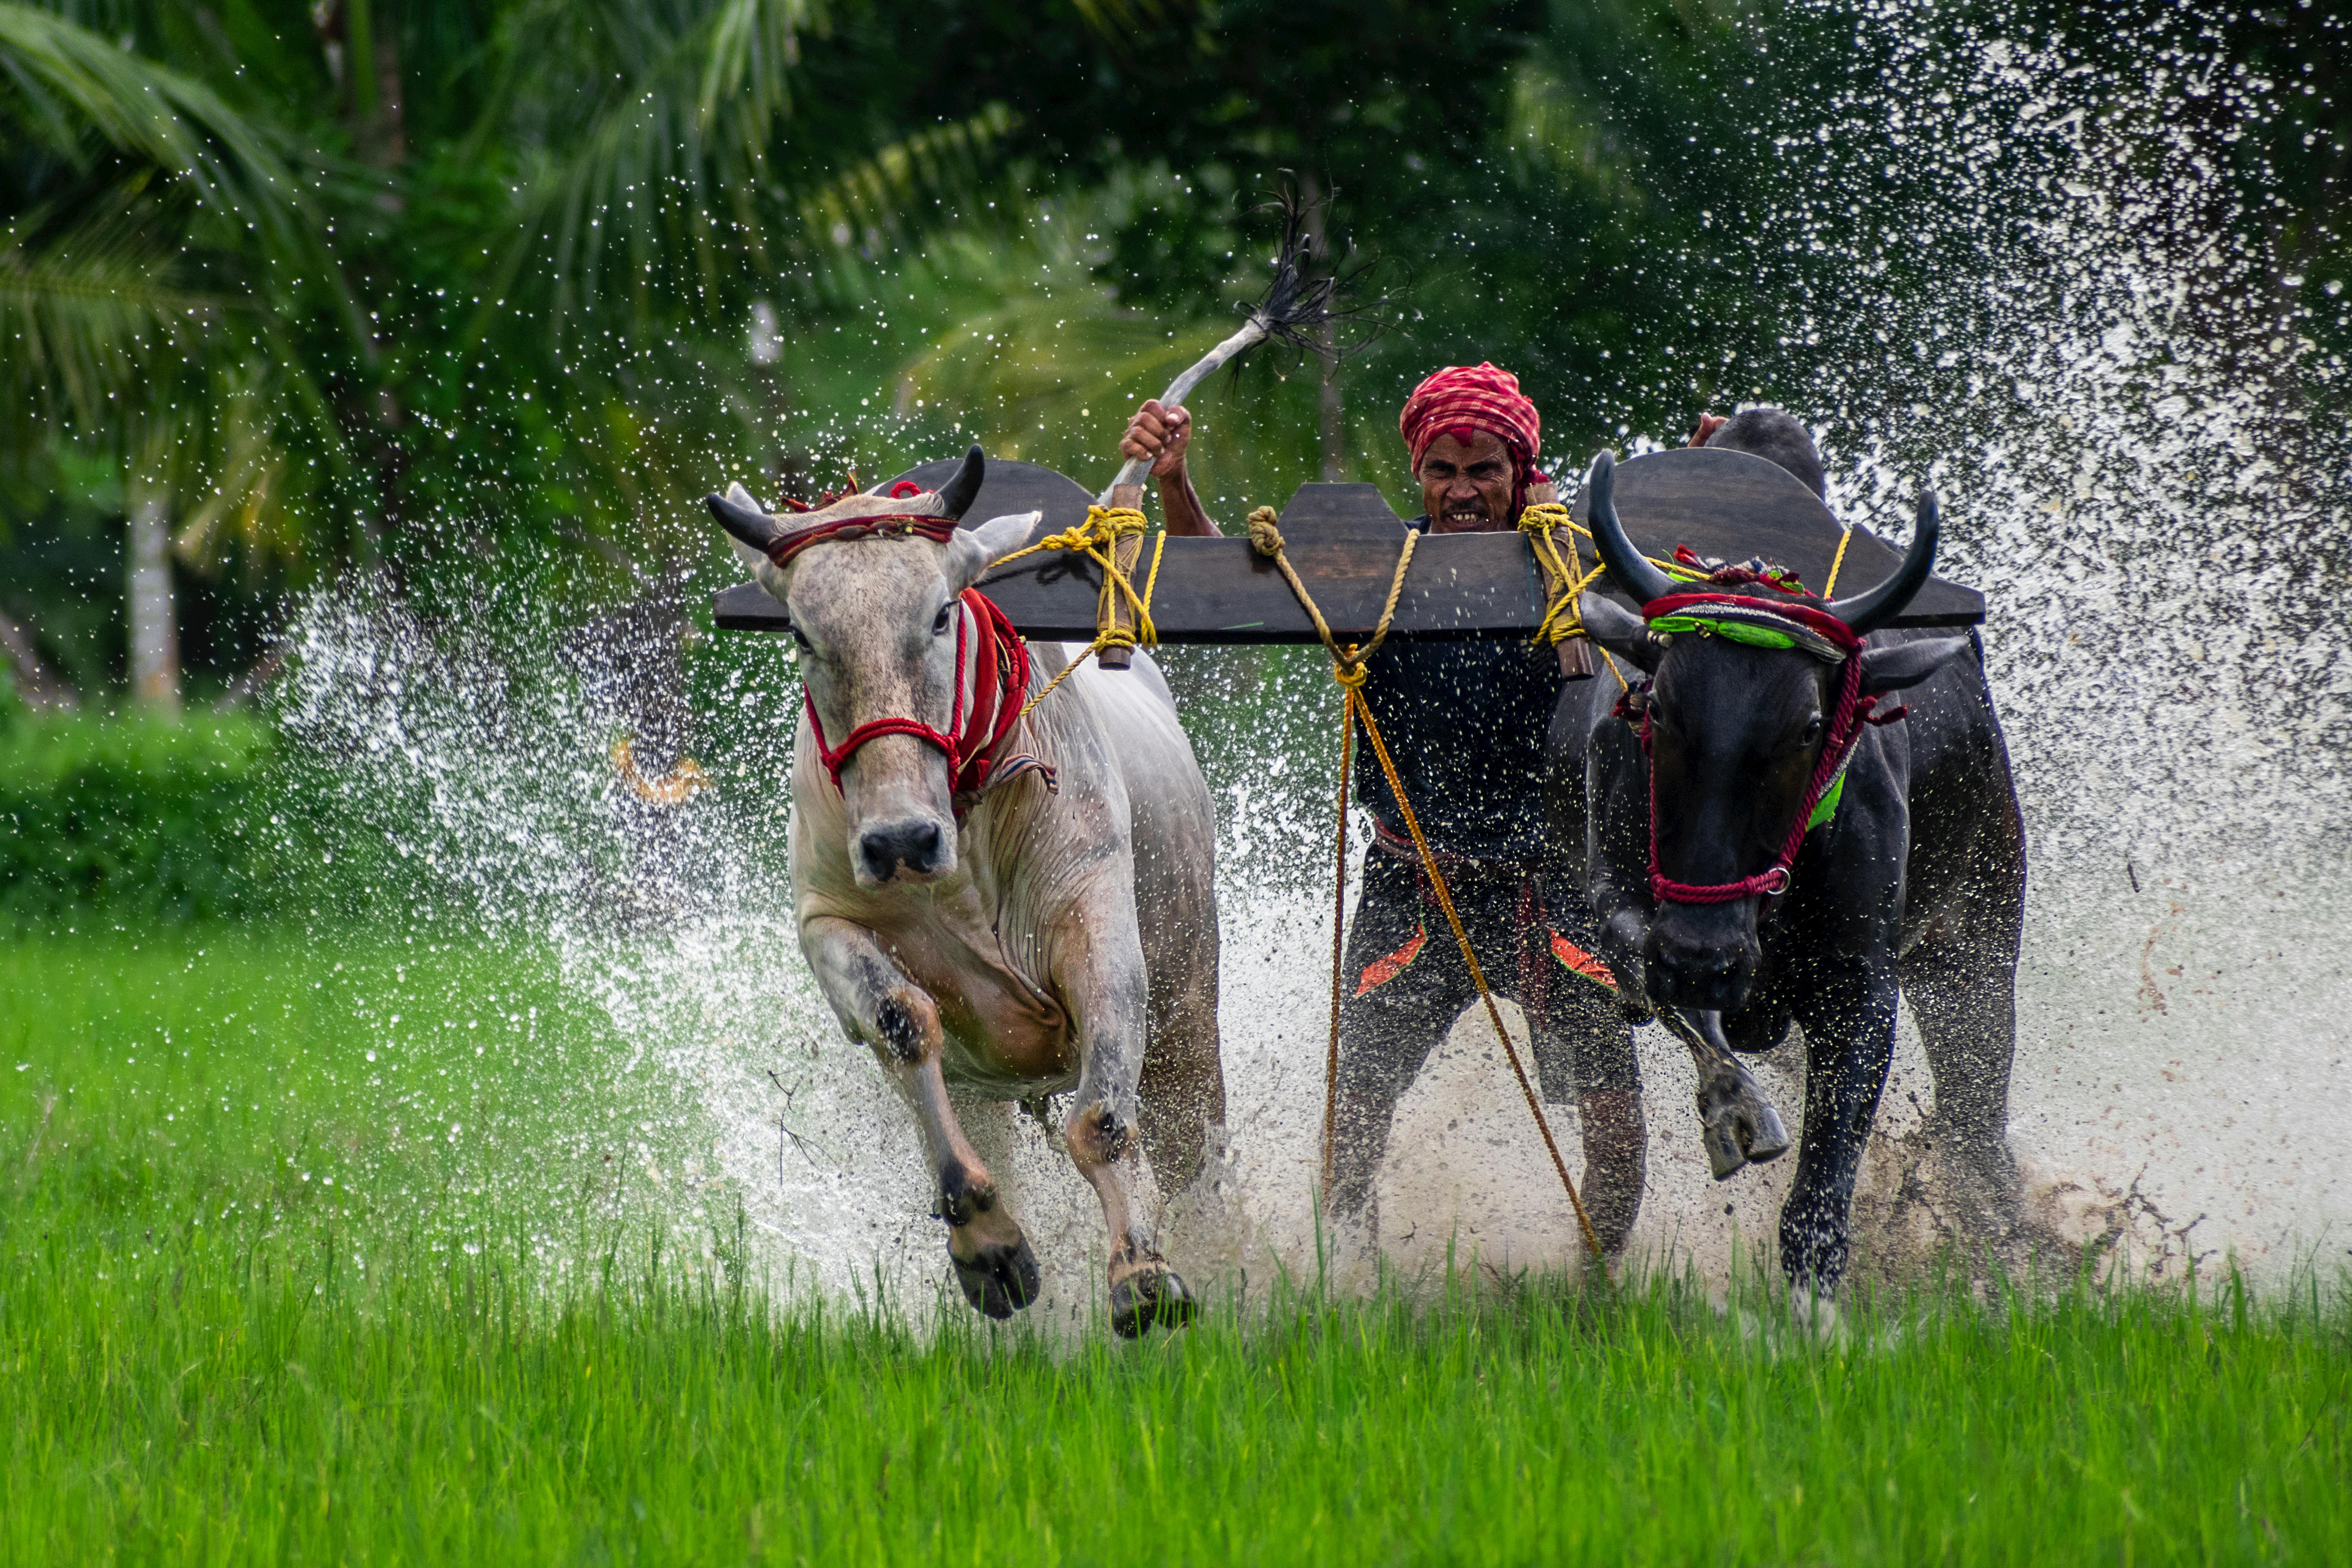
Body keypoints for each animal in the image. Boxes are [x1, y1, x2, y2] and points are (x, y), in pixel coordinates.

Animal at [706, 447, 1226, 1335]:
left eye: (943, 613)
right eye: (803, 633)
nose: (900, 842)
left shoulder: (1099, 925)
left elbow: (1101, 1119)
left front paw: (1144, 1274)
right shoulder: (826, 922)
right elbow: (903, 1025)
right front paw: (986, 1243)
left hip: (1190, 1029)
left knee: (1197, 1155)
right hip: (996, 1090)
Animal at [1545, 420, 2025, 1292]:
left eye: (1807, 726)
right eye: (1659, 708)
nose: (1704, 958)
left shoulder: (1862, 987)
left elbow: (1819, 1205)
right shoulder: (1629, 918)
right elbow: (1687, 1015)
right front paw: (1734, 1108)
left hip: (1976, 941)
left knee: (1975, 1117)